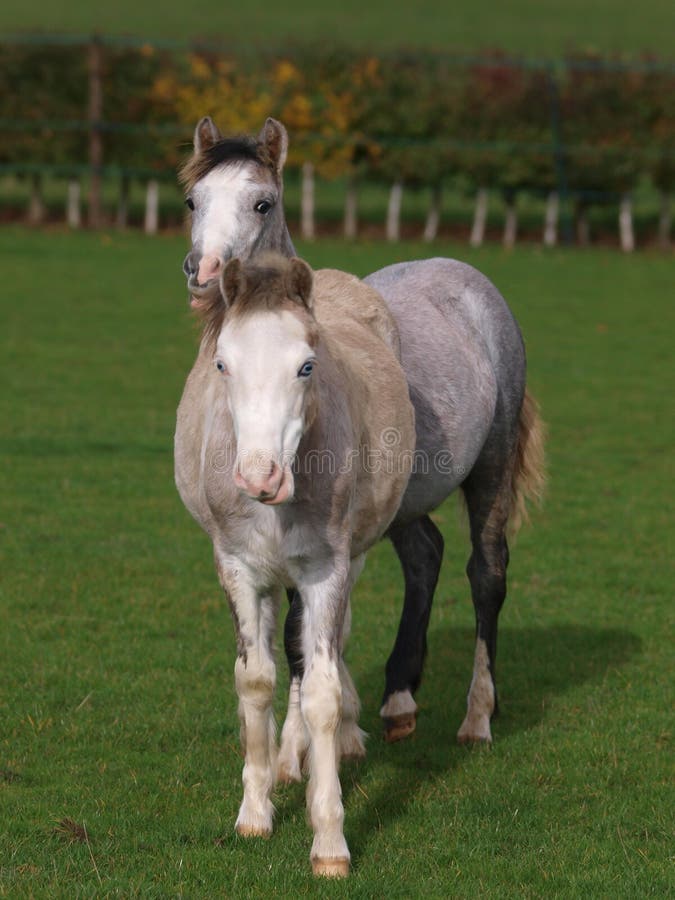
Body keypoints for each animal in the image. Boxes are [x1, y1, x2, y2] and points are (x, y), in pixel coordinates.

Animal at [174, 253, 416, 876]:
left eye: (307, 367)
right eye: (222, 364)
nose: (261, 477)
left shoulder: (326, 570)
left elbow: (322, 689)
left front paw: (329, 841)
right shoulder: (236, 567)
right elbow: (256, 678)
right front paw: (255, 812)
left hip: (354, 556)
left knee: (324, 648)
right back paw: (286, 761)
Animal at [180, 116, 546, 746]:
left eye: (261, 202)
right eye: (192, 200)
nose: (204, 274)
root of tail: (464, 274)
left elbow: (304, 634)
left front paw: (299, 747)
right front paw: (334, 729)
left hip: (491, 469)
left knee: (486, 573)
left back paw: (478, 714)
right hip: (405, 503)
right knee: (425, 556)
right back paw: (398, 695)